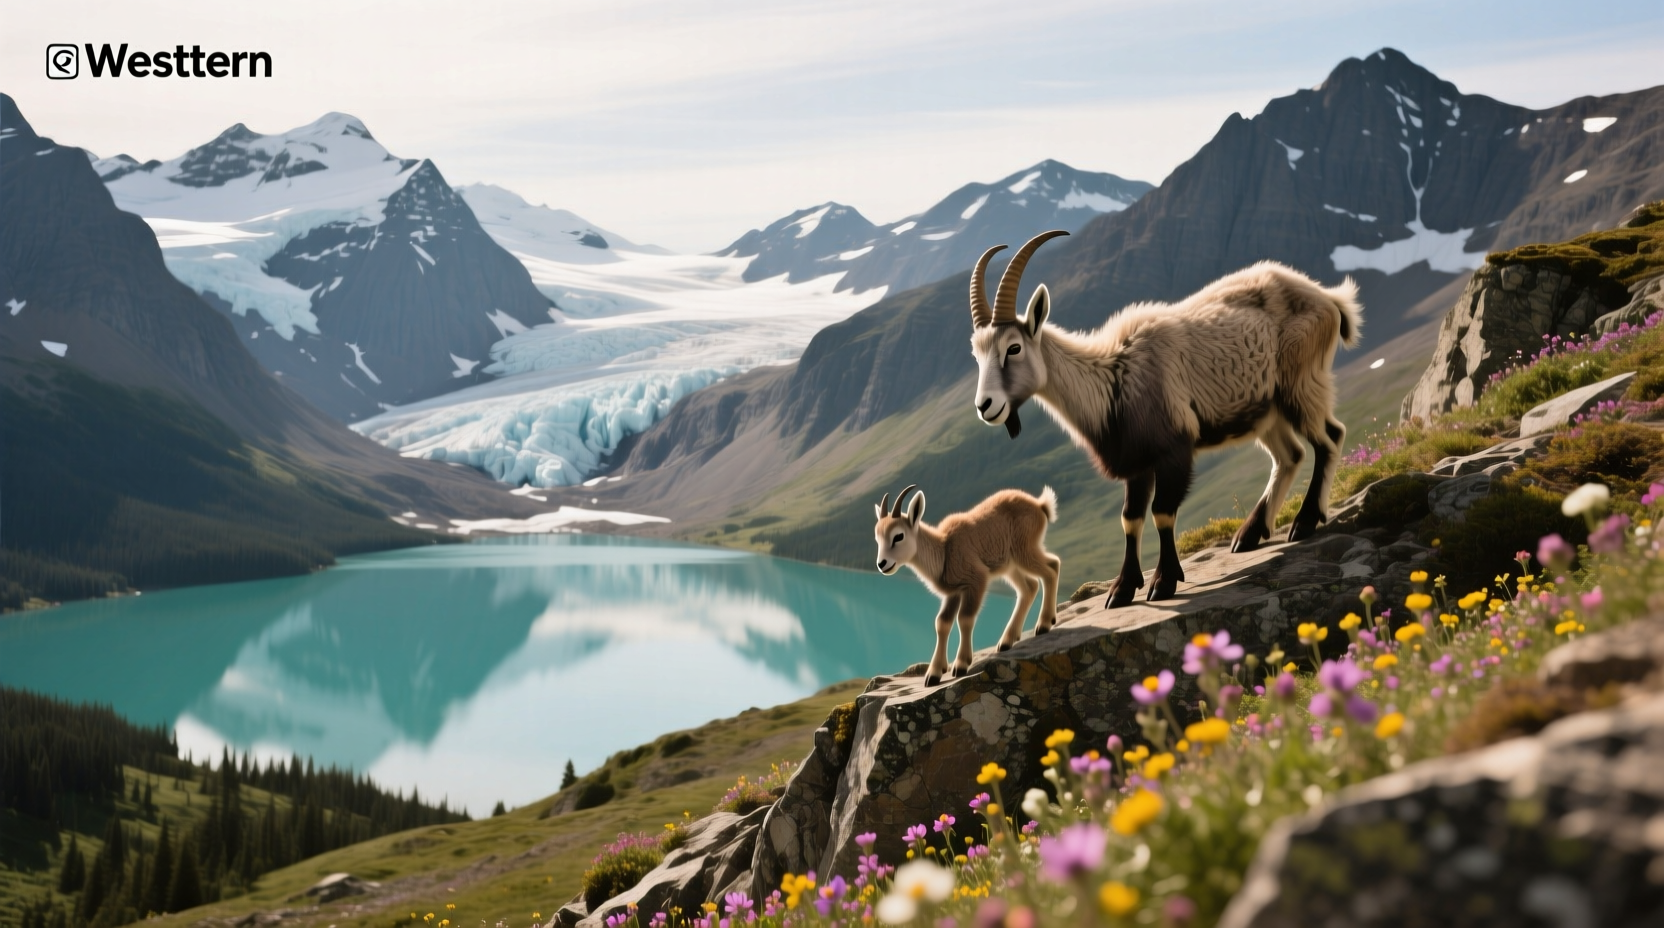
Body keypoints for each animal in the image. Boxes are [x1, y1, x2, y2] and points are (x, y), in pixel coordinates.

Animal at [874, 484, 1061, 685]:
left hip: (1024, 551)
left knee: (1052, 568)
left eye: (898, 536)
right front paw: (934, 674)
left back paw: (1044, 624)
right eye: (877, 538)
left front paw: (961, 665)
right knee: (1030, 586)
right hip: (1011, 565)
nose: (882, 564)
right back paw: (1006, 641)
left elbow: (964, 619)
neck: (944, 551)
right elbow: (942, 623)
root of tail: (1040, 505)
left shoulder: (976, 581)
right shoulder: (953, 593)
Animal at [966, 231, 1362, 609]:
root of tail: (1329, 299)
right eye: (976, 354)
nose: (985, 406)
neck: (1113, 379)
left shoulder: (1173, 451)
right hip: (1267, 411)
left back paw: (1305, 521)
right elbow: (1130, 517)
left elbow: (1162, 512)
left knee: (1329, 437)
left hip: (1300, 382)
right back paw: (1249, 534)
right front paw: (1122, 590)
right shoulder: (1136, 462)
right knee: (1290, 455)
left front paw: (1163, 582)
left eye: (1014, 347)